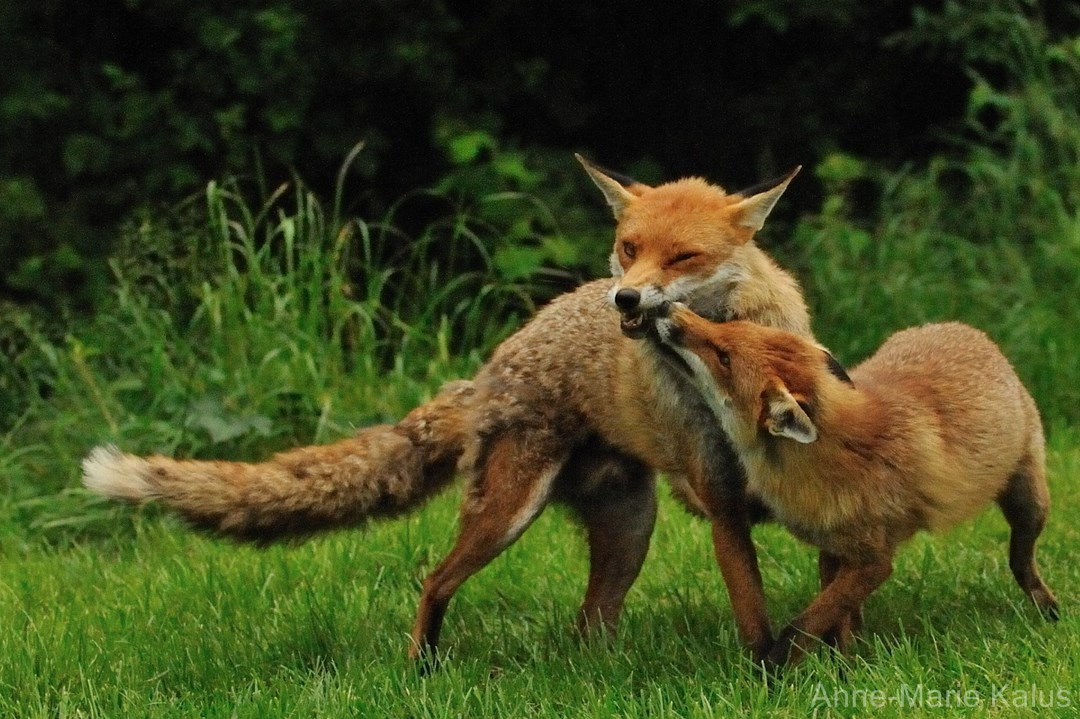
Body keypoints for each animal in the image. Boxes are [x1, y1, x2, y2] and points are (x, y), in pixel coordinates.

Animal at [82, 155, 810, 664]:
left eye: (683, 256)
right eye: (629, 248)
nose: (625, 299)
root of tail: (490, 366)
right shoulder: (719, 497)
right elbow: (754, 617)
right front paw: (766, 678)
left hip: (628, 530)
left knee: (587, 625)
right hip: (508, 515)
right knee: (434, 581)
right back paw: (422, 670)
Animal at [652, 305, 1060, 669]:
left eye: (724, 357)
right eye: (730, 327)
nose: (667, 307)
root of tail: (964, 328)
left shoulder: (874, 561)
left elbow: (806, 623)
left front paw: (777, 667)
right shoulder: (834, 547)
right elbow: (834, 616)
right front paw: (845, 662)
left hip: (1030, 505)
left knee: (1020, 560)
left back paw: (1047, 607)